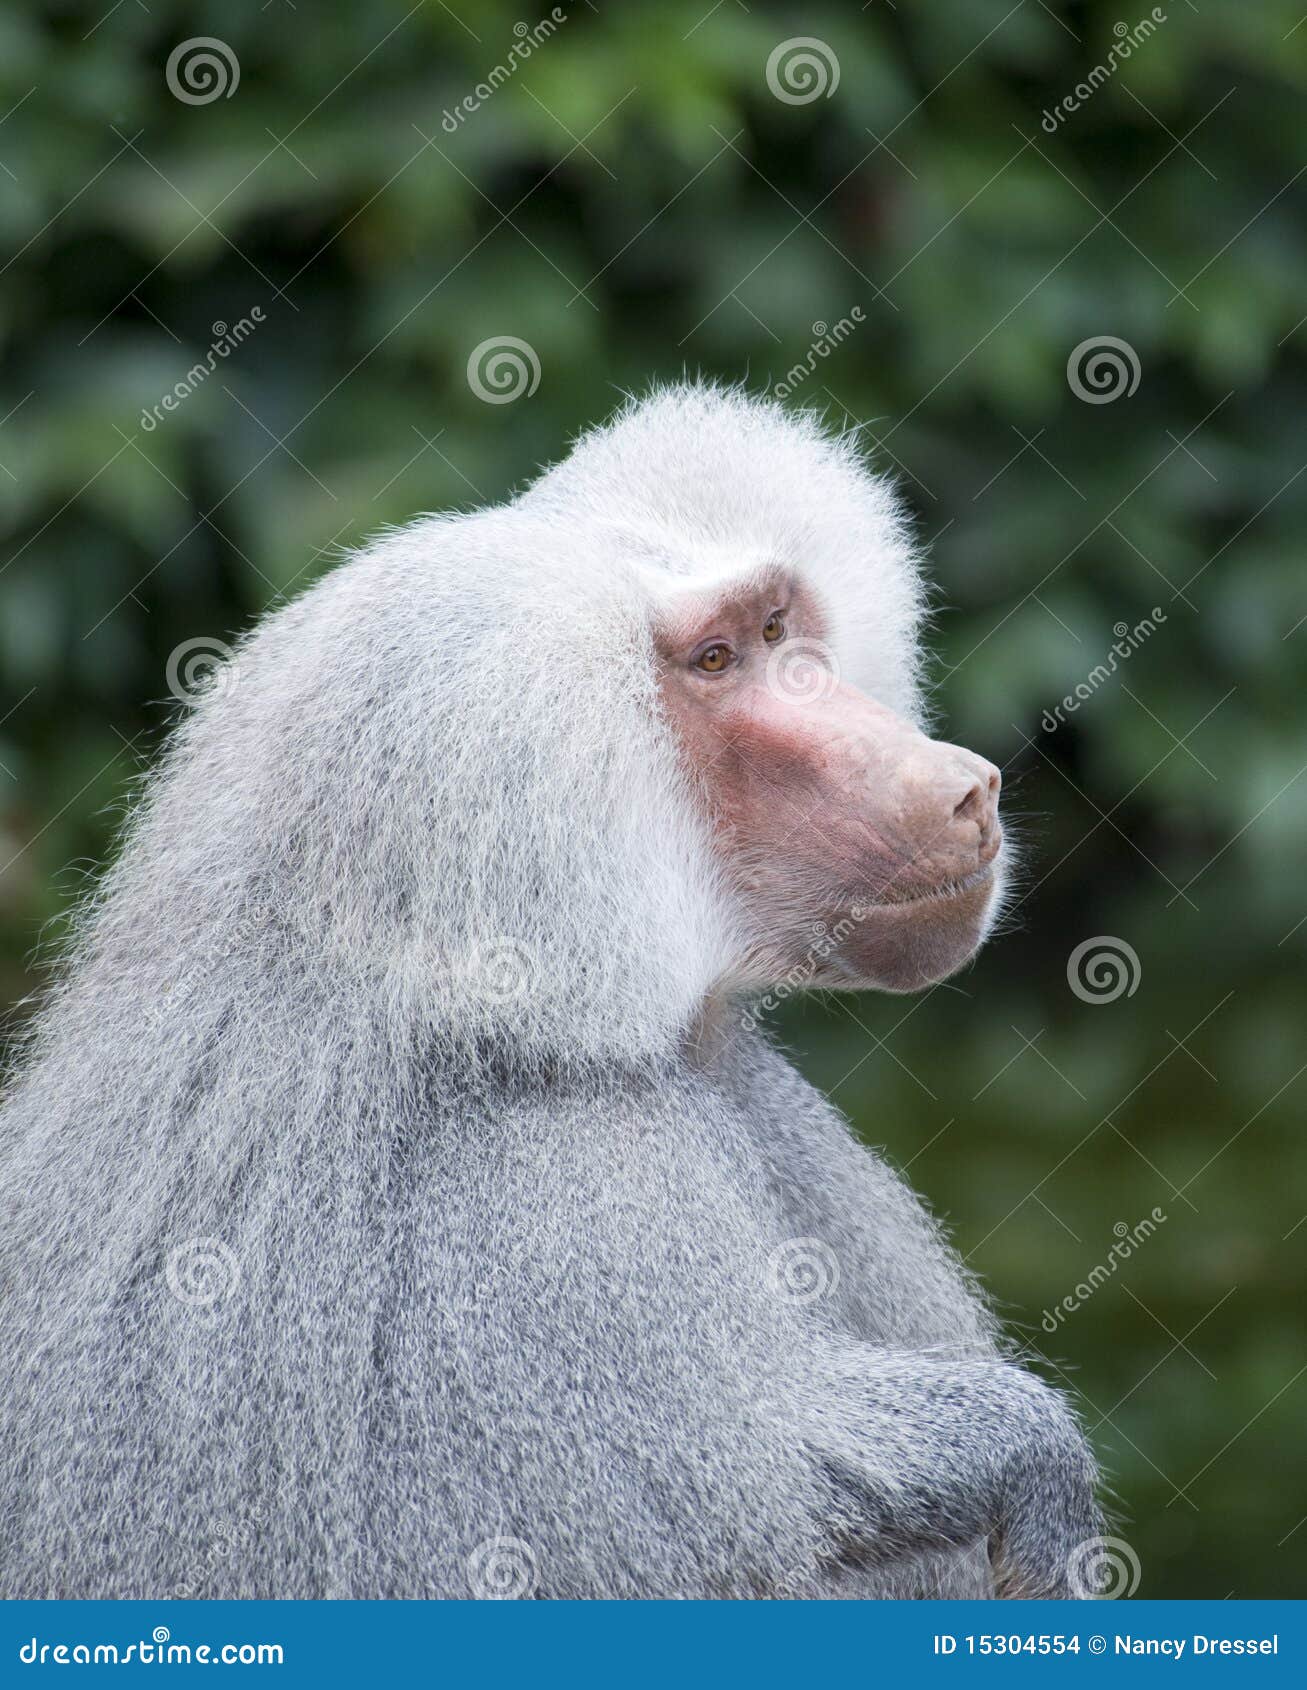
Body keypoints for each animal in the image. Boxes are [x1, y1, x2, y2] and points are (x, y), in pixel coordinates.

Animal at [0, 383, 1100, 1600]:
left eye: (775, 630)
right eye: (713, 661)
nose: (962, 790)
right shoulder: (555, 1197)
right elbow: (759, 1483)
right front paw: (1033, 1470)